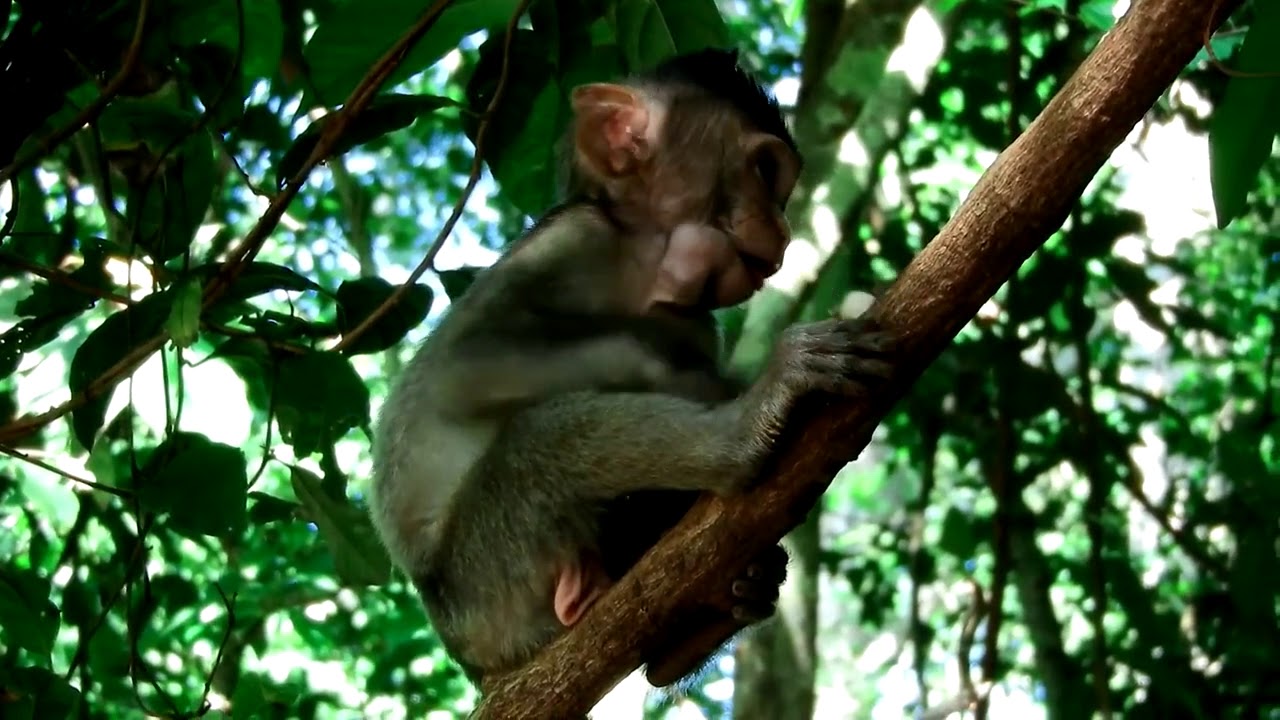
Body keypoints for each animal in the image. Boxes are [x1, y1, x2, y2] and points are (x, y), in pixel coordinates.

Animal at [369, 48, 895, 688]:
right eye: (766, 173)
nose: (786, 231)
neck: (646, 265)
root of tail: (477, 659)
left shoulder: (694, 317)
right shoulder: (576, 241)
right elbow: (463, 364)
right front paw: (701, 379)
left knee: (660, 665)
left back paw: (722, 602)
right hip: (485, 573)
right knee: (543, 438)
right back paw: (744, 431)